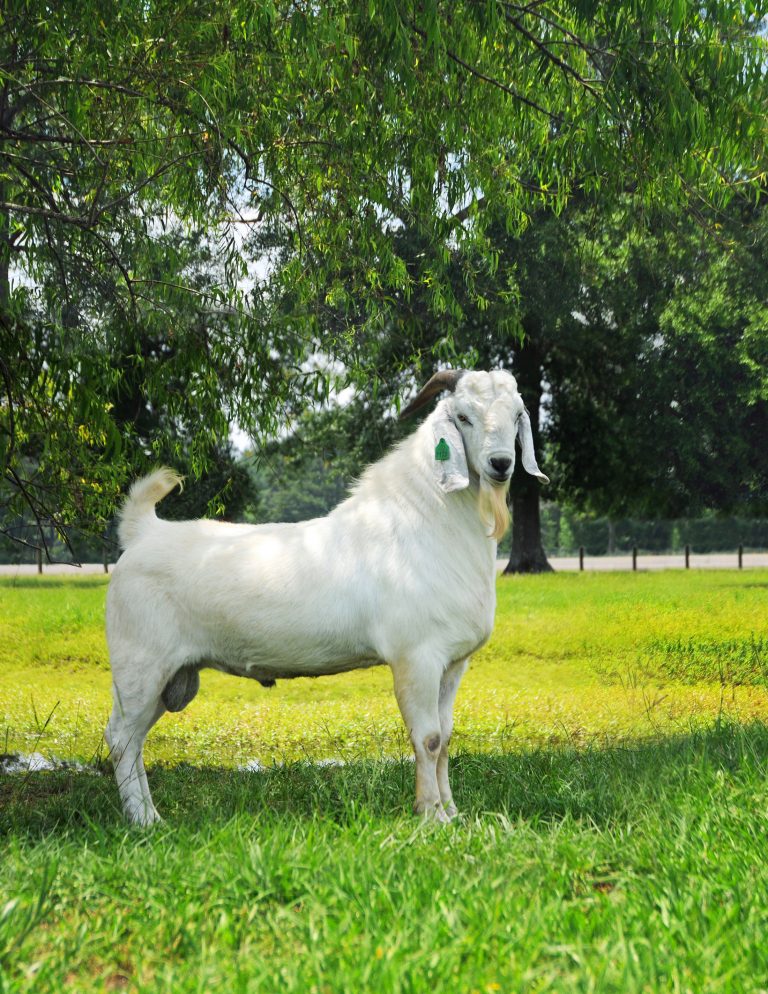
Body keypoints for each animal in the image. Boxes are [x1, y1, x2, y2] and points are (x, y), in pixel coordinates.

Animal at [105, 369, 548, 824]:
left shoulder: (453, 664)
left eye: (517, 414)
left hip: (169, 676)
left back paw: (149, 816)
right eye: (462, 416)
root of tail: (143, 532)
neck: (424, 522)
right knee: (121, 738)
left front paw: (452, 813)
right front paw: (430, 816)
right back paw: (144, 820)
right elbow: (426, 738)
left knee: (133, 739)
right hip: (140, 665)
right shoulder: (417, 657)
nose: (501, 464)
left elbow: (445, 738)